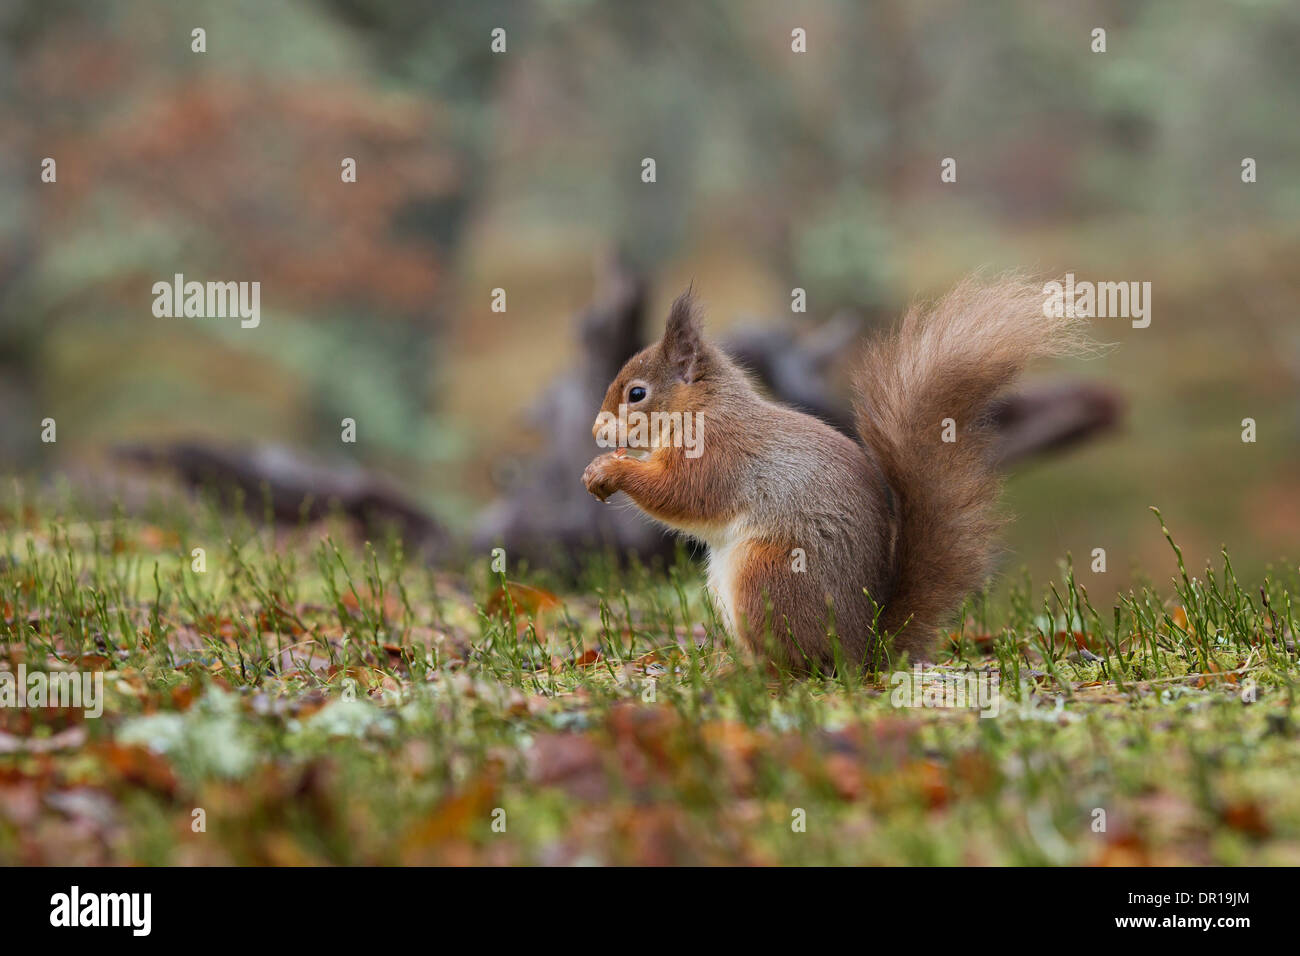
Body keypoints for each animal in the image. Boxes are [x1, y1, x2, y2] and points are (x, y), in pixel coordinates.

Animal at [582, 275, 1088, 673]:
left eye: (637, 393)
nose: (596, 431)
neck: (704, 408)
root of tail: (862, 649)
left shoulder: (719, 454)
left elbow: (682, 494)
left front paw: (610, 469)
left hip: (769, 575)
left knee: (797, 663)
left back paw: (747, 671)